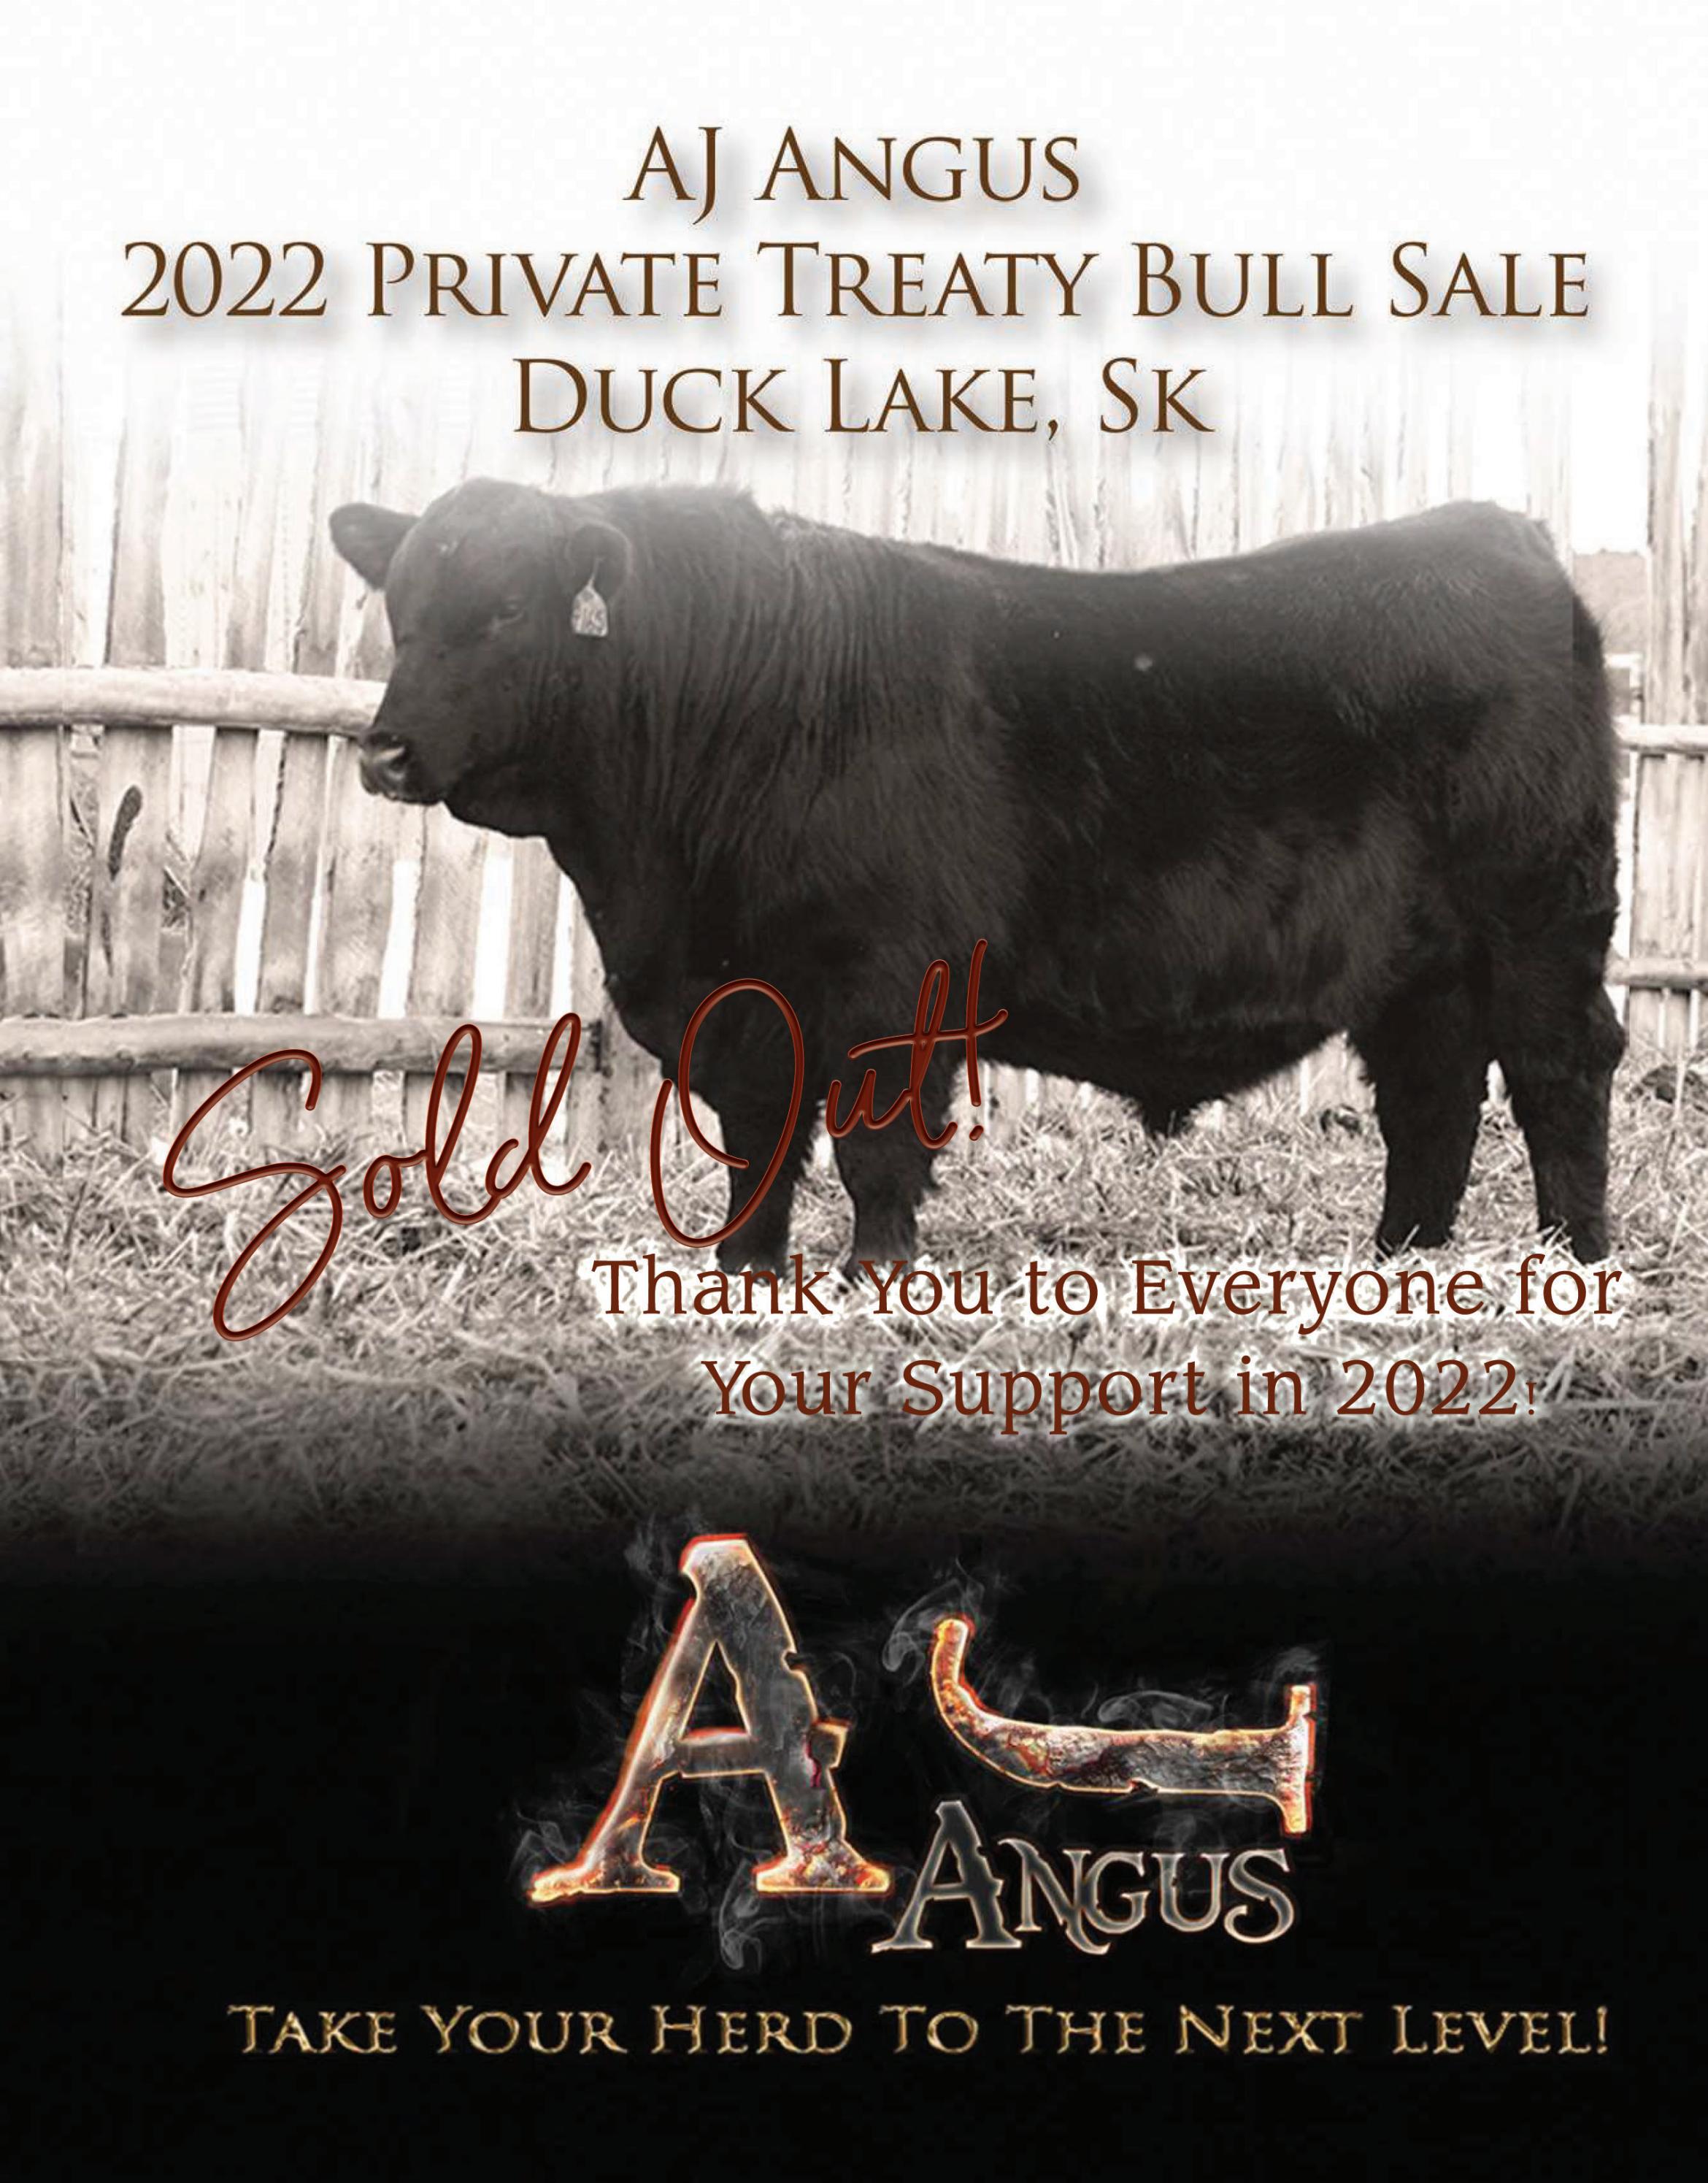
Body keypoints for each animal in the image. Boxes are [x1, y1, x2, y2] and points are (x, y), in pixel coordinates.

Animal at [330, 482, 1623, 1271]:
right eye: (400, 607)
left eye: (507, 609)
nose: (385, 751)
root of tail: (1505, 539)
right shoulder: (745, 1001)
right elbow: (760, 1145)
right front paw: (745, 1273)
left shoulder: (883, 984)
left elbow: (875, 1149)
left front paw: (874, 1279)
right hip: (1422, 966)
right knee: (1430, 1097)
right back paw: (1402, 1260)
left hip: (1541, 923)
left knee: (1558, 1074)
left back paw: (1570, 1262)